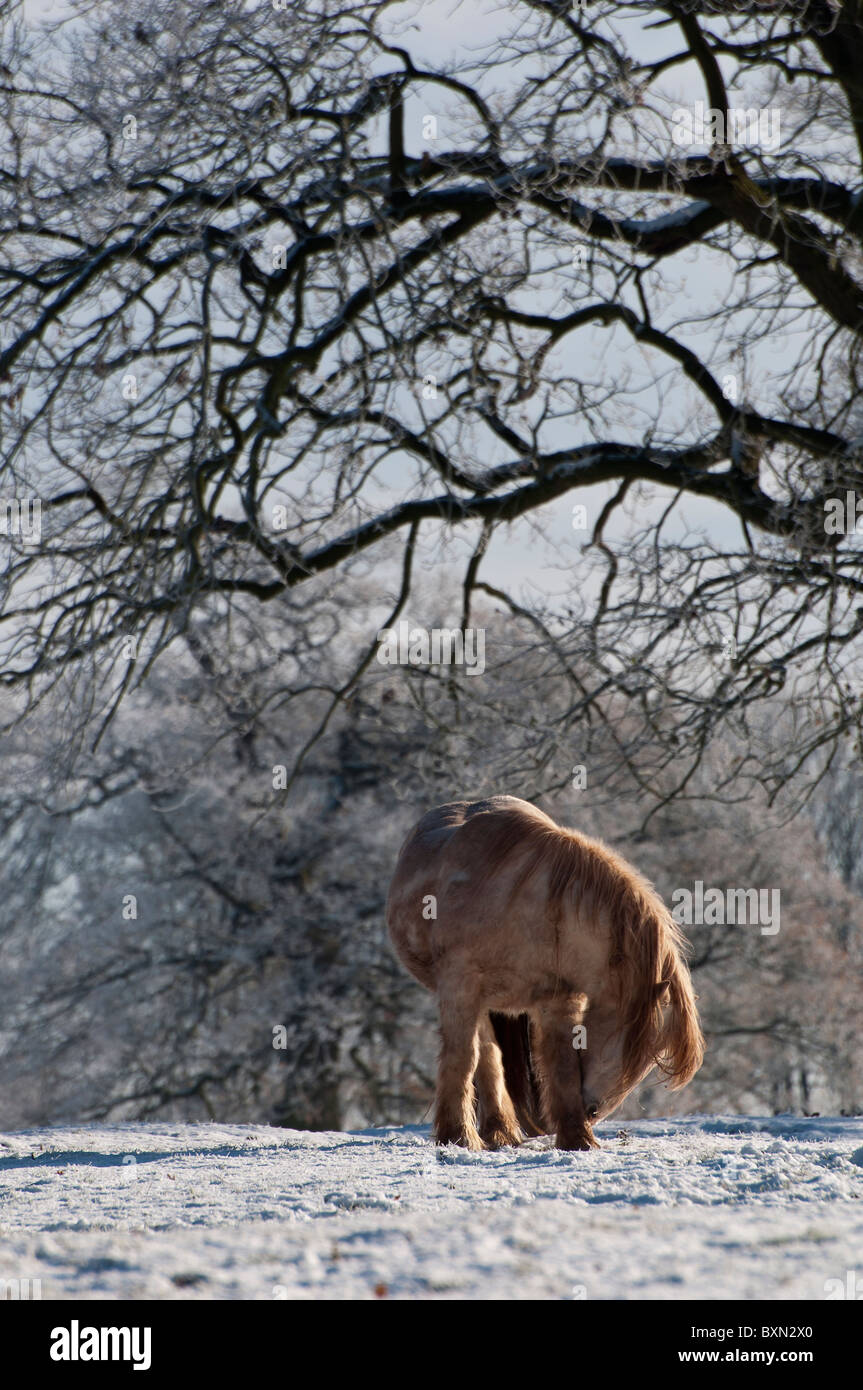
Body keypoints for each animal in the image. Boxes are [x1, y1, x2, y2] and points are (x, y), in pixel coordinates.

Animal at [386, 795, 704, 1151]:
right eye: (642, 1046)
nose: (593, 1112)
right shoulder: (459, 987)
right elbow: (462, 1058)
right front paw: (457, 1136)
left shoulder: (559, 1001)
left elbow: (562, 1066)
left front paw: (577, 1139)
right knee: (482, 1054)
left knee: (491, 1056)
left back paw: (501, 1131)